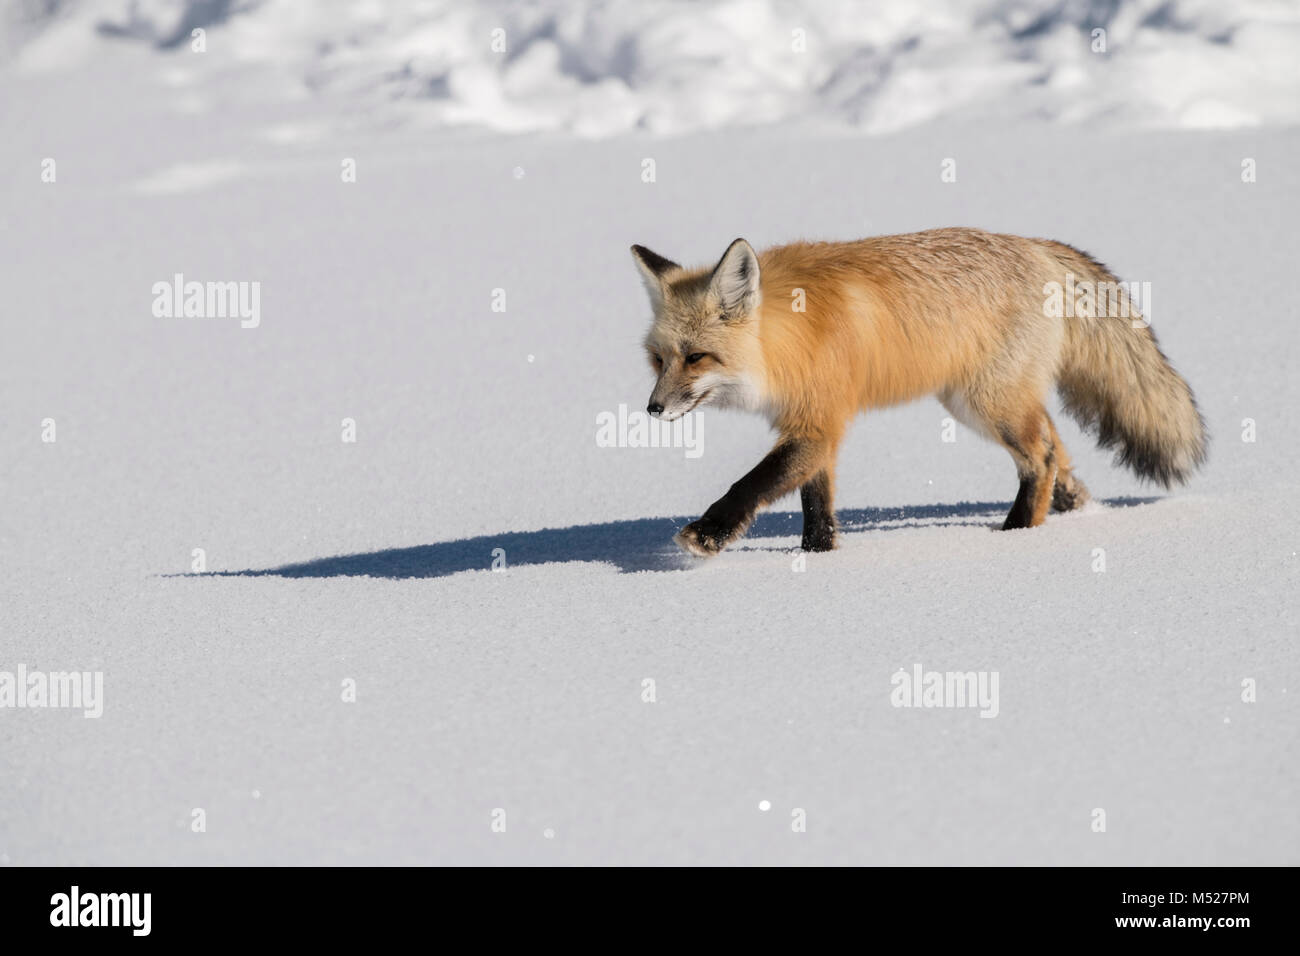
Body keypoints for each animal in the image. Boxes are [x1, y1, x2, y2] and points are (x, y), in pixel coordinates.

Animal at [630, 228, 1206, 557]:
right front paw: (820, 555)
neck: (788, 338)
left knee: (1040, 455)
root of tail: (1036, 246)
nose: (653, 408)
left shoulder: (818, 422)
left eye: (697, 357)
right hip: (990, 399)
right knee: (1055, 445)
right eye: (658, 360)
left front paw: (708, 535)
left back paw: (1017, 534)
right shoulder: (816, 425)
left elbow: (751, 484)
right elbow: (817, 503)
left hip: (983, 404)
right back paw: (1073, 507)